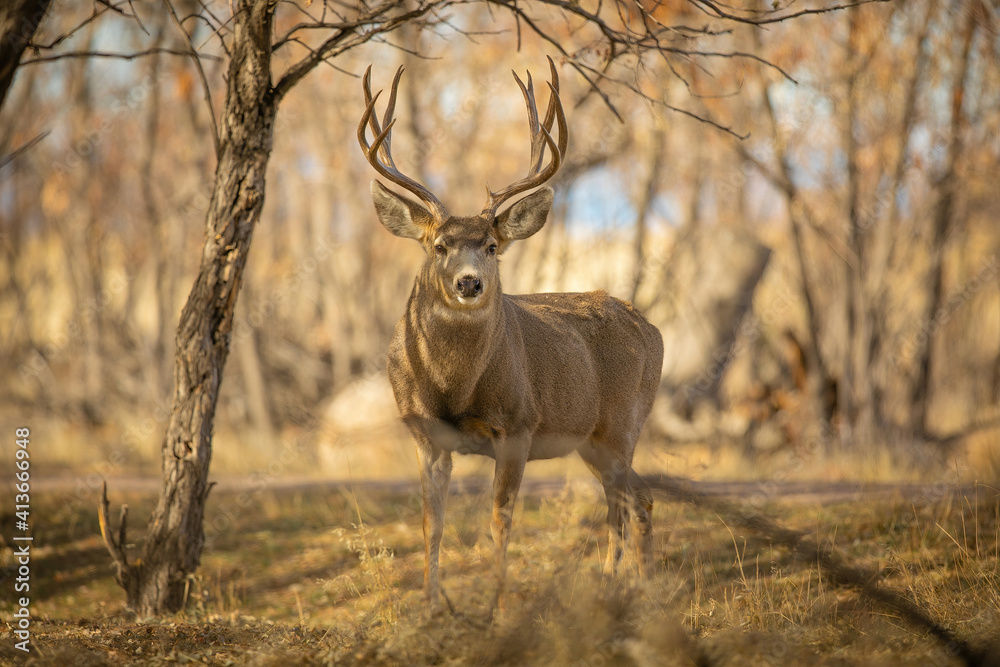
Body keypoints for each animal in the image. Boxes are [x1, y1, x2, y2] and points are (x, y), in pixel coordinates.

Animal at [357, 57, 664, 619]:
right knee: (623, 496)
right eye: (439, 246)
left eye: (493, 246)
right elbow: (432, 524)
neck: (454, 390)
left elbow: (500, 521)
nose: (469, 283)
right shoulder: (424, 435)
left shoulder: (518, 426)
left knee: (637, 496)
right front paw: (430, 608)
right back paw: (616, 583)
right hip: (591, 440)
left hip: (623, 422)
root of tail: (651, 327)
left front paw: (498, 610)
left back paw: (636, 587)